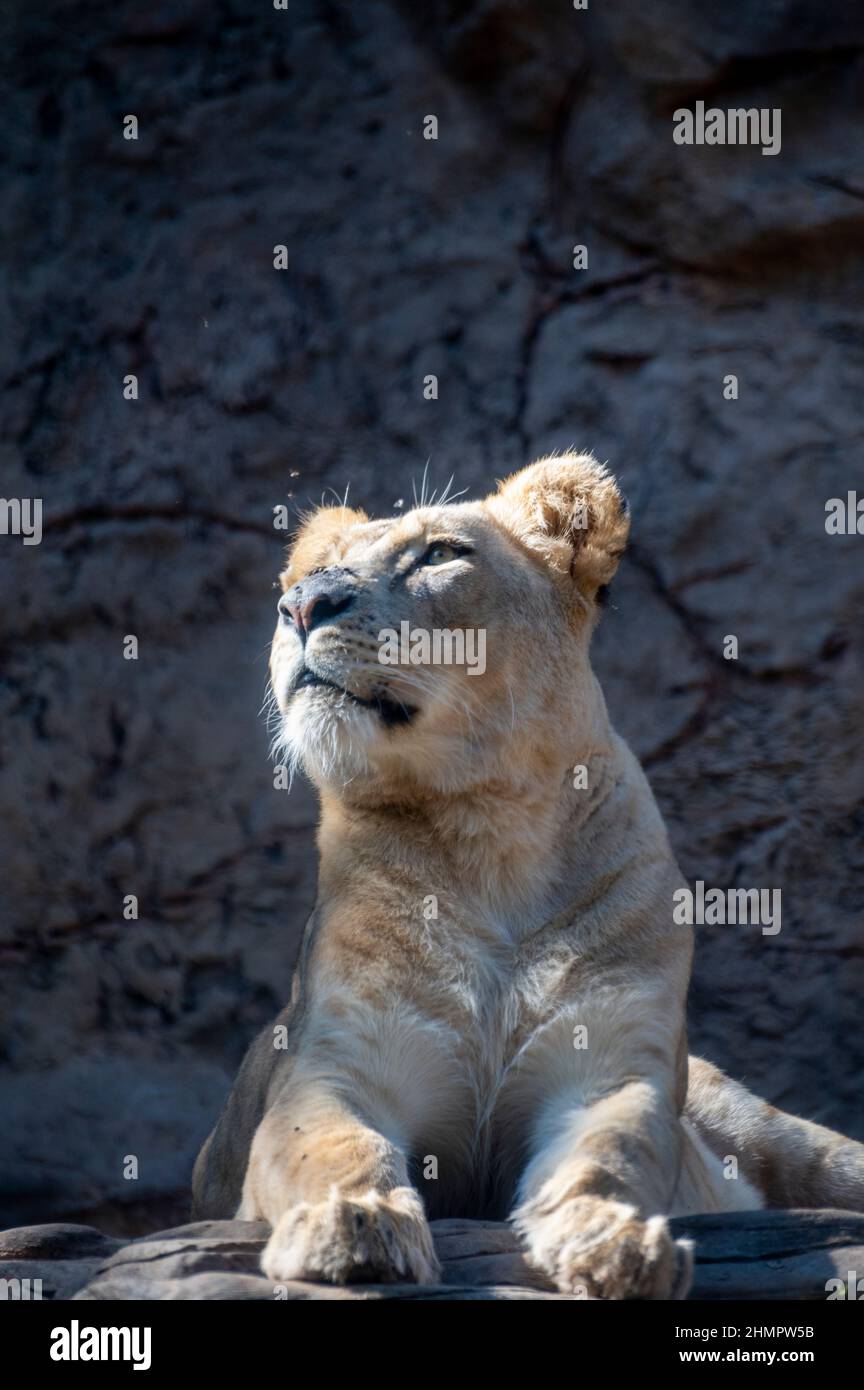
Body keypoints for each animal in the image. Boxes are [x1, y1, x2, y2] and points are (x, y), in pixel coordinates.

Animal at [192, 453, 864, 1298]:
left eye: (440, 553)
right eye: (307, 573)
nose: (302, 604)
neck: (487, 837)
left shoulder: (614, 1067)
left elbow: (612, 1155)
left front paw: (615, 1244)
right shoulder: (329, 1064)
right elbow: (331, 1144)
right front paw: (351, 1225)